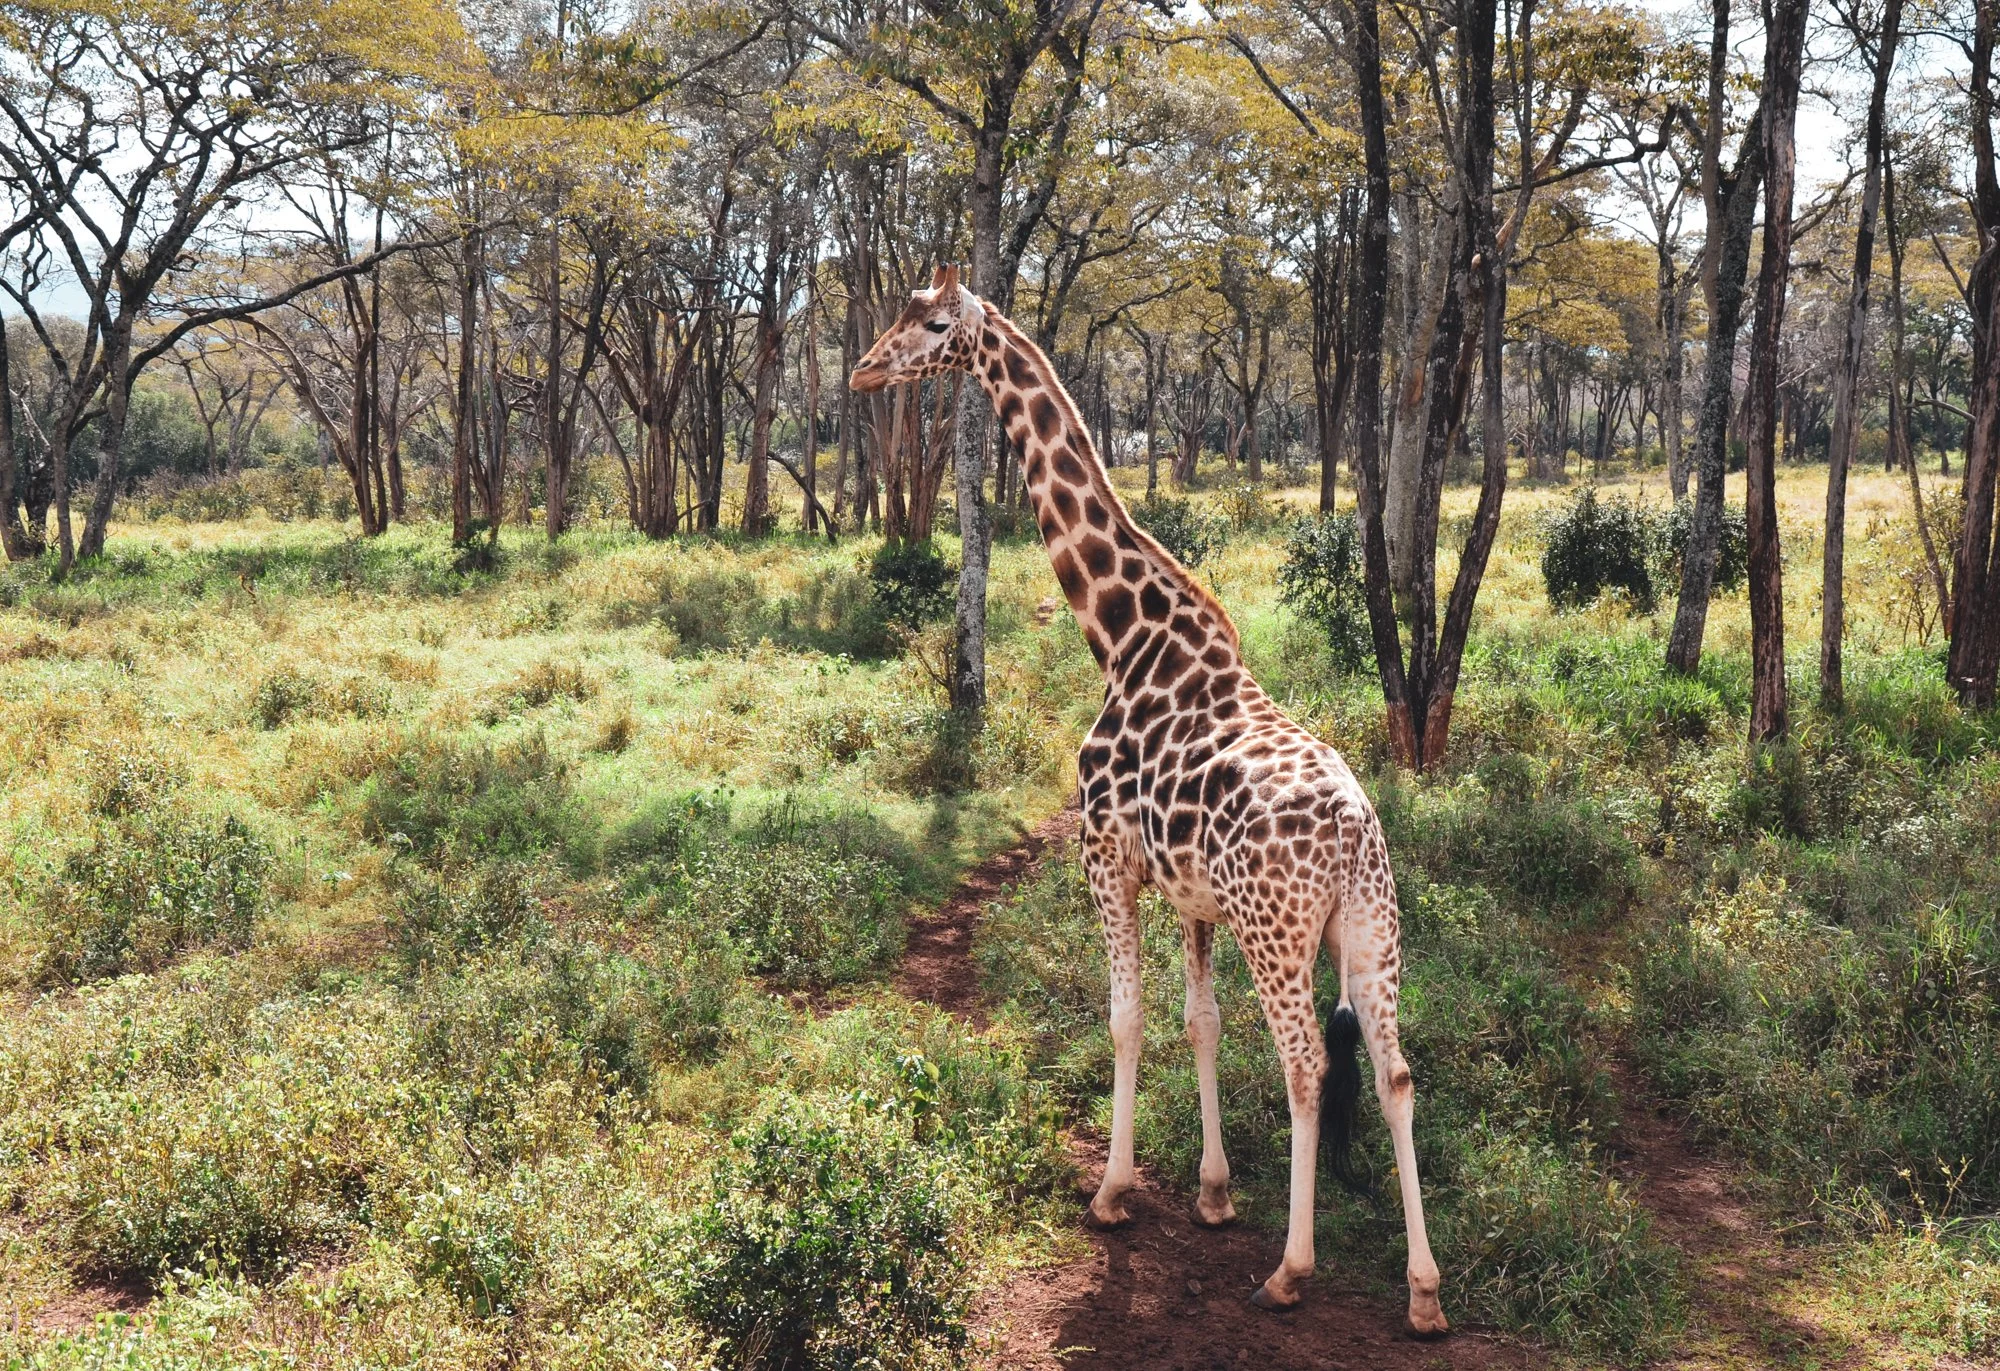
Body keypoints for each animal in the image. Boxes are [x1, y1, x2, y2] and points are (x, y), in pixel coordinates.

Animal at [850, 265, 1447, 1333]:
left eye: (931, 321)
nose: (864, 371)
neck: (1123, 637)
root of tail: (1350, 829)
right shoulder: (1191, 895)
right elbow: (1197, 1020)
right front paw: (1211, 1192)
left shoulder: (1105, 857)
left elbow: (1126, 1017)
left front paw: (1114, 1191)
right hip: (1372, 930)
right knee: (1394, 1073)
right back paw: (1423, 1290)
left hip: (1278, 930)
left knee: (1307, 1068)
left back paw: (1291, 1270)